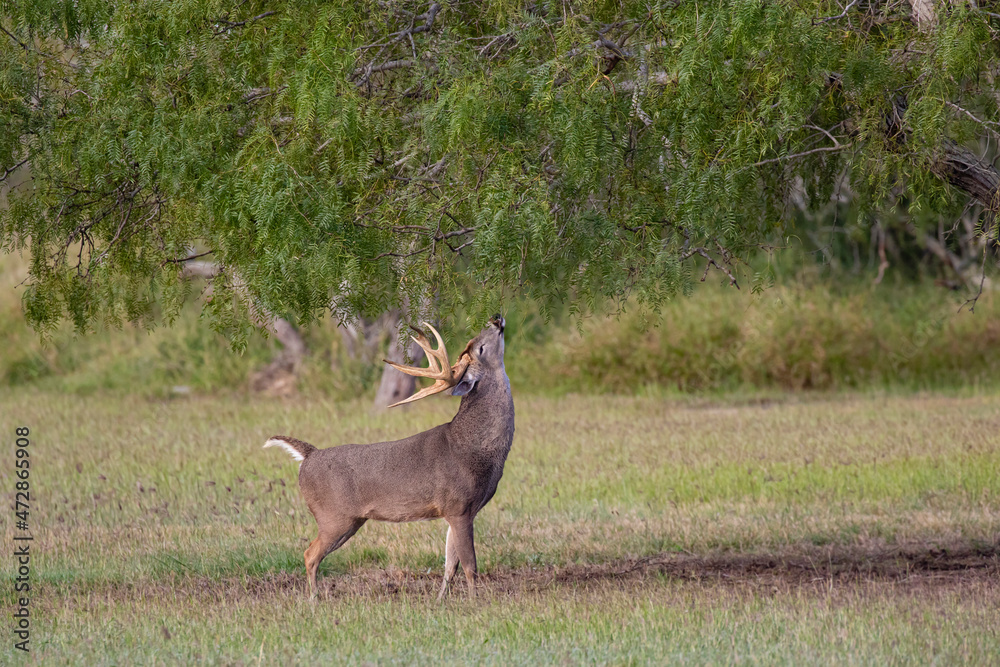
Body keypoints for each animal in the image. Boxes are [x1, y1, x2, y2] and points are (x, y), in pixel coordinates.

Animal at [264, 315, 514, 599]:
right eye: (480, 348)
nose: (496, 318)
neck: (474, 447)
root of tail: (309, 455)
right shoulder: (459, 506)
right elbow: (470, 565)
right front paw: (475, 602)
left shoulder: (460, 512)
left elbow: (450, 564)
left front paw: (441, 600)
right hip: (333, 516)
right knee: (310, 554)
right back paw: (315, 599)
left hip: (350, 520)